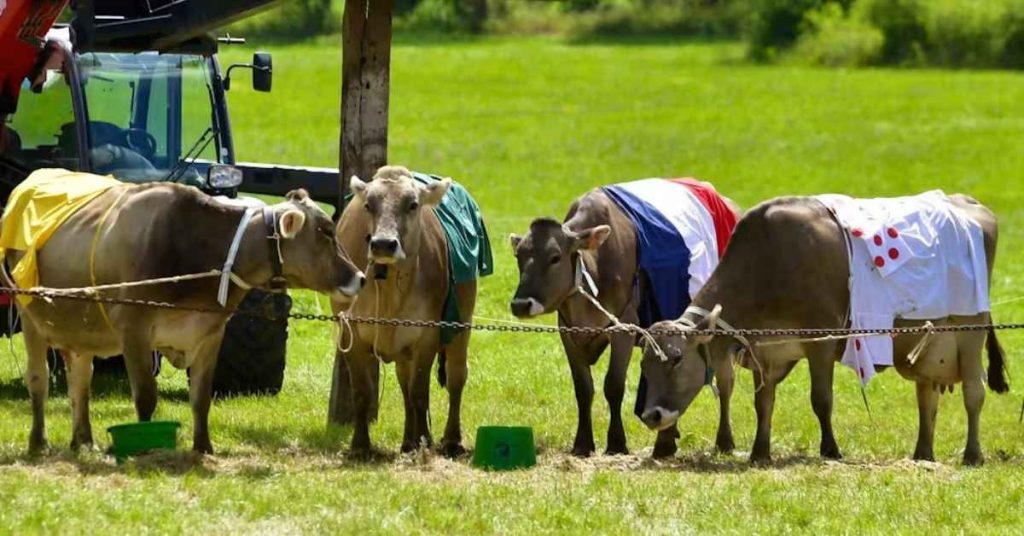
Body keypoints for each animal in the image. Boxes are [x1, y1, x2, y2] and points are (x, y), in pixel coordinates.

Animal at [4, 181, 364, 454]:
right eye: (326, 231)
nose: (360, 278)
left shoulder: (210, 334)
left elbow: (201, 398)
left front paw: (203, 447)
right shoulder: (133, 330)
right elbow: (146, 396)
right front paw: (144, 447)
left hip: (79, 333)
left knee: (80, 382)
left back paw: (83, 441)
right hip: (30, 317)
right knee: (38, 380)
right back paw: (38, 443)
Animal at [334, 165, 487, 457]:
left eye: (413, 205)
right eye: (368, 205)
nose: (383, 244)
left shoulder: (427, 336)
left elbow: (420, 393)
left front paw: (425, 440)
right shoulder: (350, 333)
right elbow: (363, 392)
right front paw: (360, 446)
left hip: (462, 324)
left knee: (456, 377)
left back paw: (450, 440)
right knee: (404, 383)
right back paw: (408, 440)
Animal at [509, 183, 740, 457]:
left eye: (555, 257)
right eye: (519, 256)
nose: (521, 304)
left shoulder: (624, 329)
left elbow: (614, 385)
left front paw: (617, 443)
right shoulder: (568, 332)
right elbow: (583, 389)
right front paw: (583, 443)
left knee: (725, 382)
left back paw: (723, 441)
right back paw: (666, 442)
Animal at [637, 194, 1006, 465]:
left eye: (676, 359)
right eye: (644, 364)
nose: (651, 415)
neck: (769, 261)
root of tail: (969, 203)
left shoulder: (821, 342)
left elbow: (821, 399)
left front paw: (830, 448)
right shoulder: (765, 350)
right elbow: (763, 402)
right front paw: (760, 451)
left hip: (970, 329)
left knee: (974, 392)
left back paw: (972, 455)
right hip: (930, 345)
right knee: (927, 398)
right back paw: (922, 454)